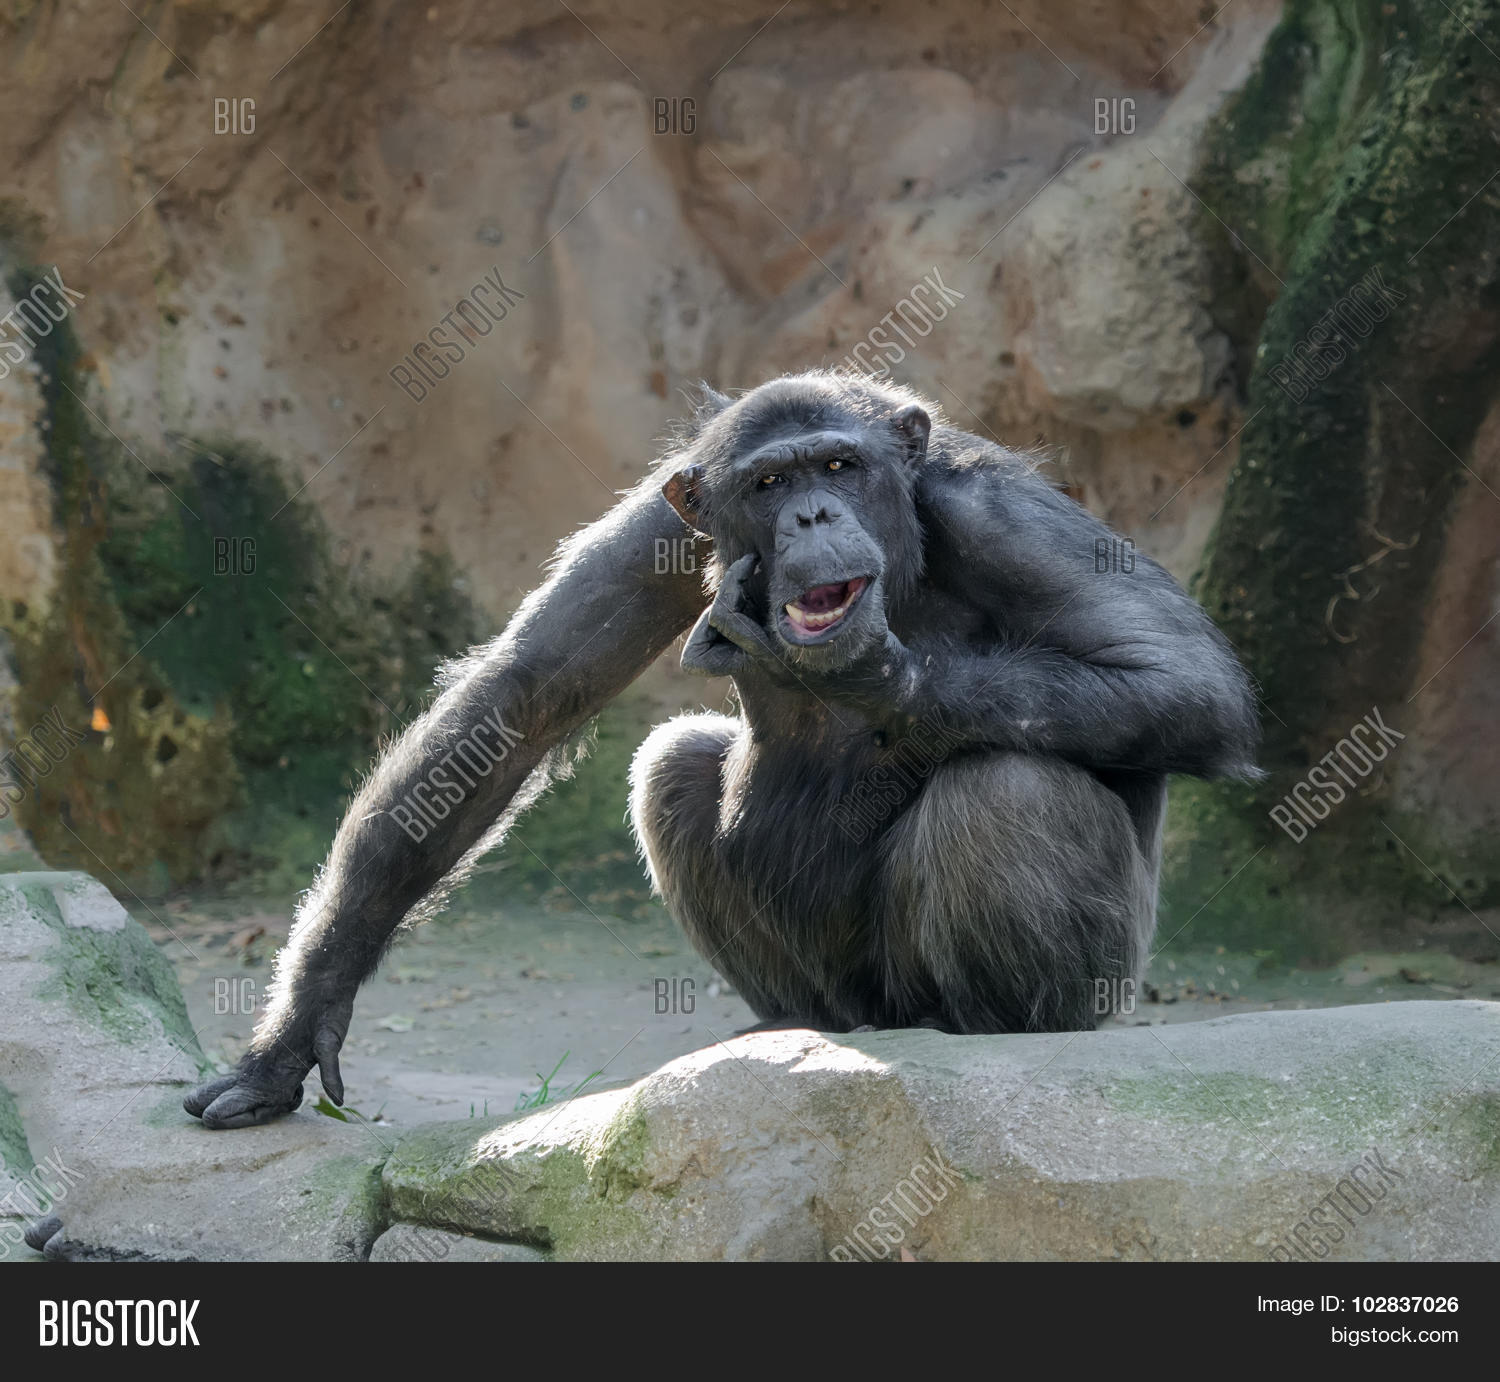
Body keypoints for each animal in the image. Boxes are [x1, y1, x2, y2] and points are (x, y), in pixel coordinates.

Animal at [185, 371, 1258, 1128]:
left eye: (839, 467)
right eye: (771, 482)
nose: (813, 515)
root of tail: (878, 1024)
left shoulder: (1005, 516)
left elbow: (1179, 674)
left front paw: (877, 677)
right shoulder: (657, 527)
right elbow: (519, 698)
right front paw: (297, 1026)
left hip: (1082, 982)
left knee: (1009, 788)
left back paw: (995, 1035)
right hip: (836, 986)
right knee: (673, 765)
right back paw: (784, 1031)